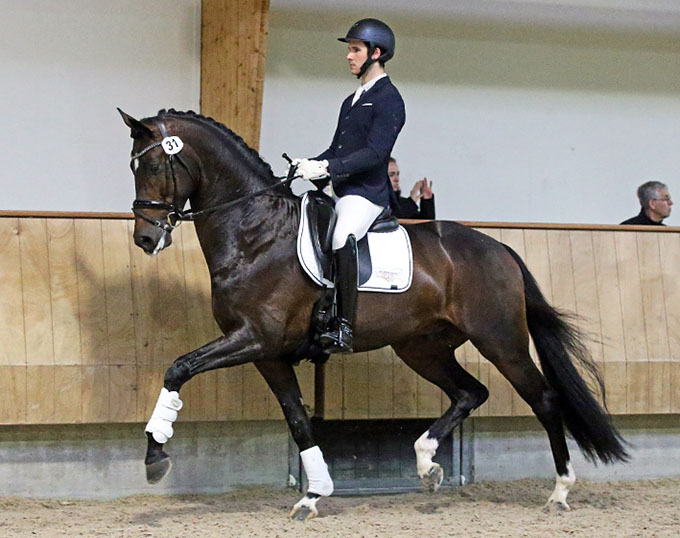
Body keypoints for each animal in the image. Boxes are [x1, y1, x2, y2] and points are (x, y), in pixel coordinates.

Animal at [119, 108, 628, 520]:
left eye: (153, 165)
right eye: (133, 166)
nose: (145, 238)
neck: (254, 231)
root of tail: (498, 247)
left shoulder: (255, 338)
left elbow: (179, 367)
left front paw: (155, 454)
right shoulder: (268, 353)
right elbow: (297, 419)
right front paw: (314, 495)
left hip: (500, 341)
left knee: (543, 400)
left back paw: (559, 493)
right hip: (421, 348)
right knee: (470, 392)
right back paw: (427, 465)